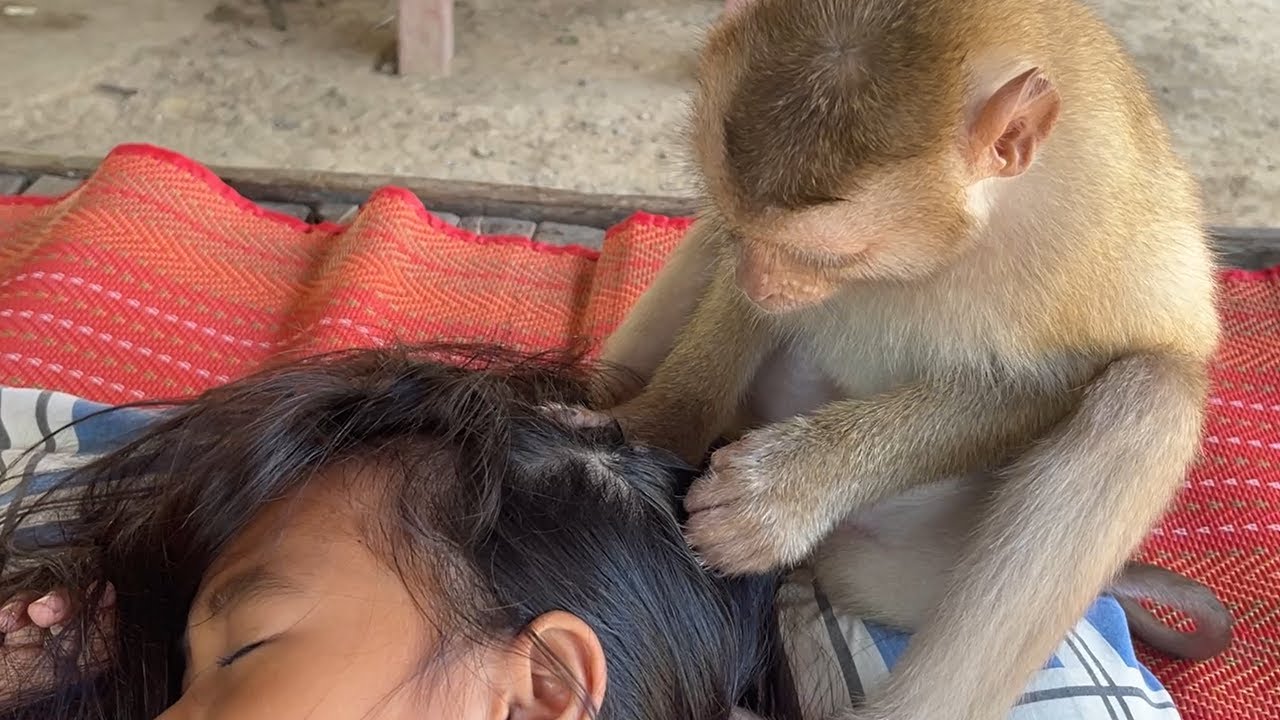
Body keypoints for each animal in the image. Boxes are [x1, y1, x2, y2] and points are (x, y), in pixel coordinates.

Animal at [579, 1, 1225, 718]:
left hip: (915, 570)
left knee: (1151, 390)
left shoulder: (1080, 238)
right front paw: (656, 425)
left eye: (830, 256)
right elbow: (733, 284)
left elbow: (1052, 380)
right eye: (745, 227)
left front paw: (783, 490)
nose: (756, 279)